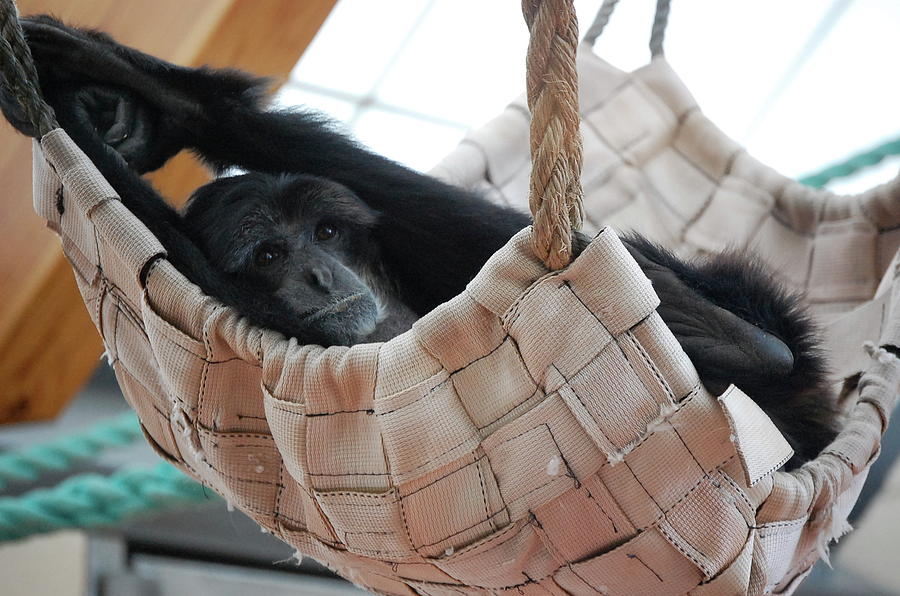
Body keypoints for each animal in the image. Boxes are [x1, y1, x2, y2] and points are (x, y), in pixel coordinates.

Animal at [0, 16, 838, 465]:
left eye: (325, 233)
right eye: (272, 254)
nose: (321, 273)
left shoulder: (420, 231)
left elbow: (243, 127)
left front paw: (88, 76)